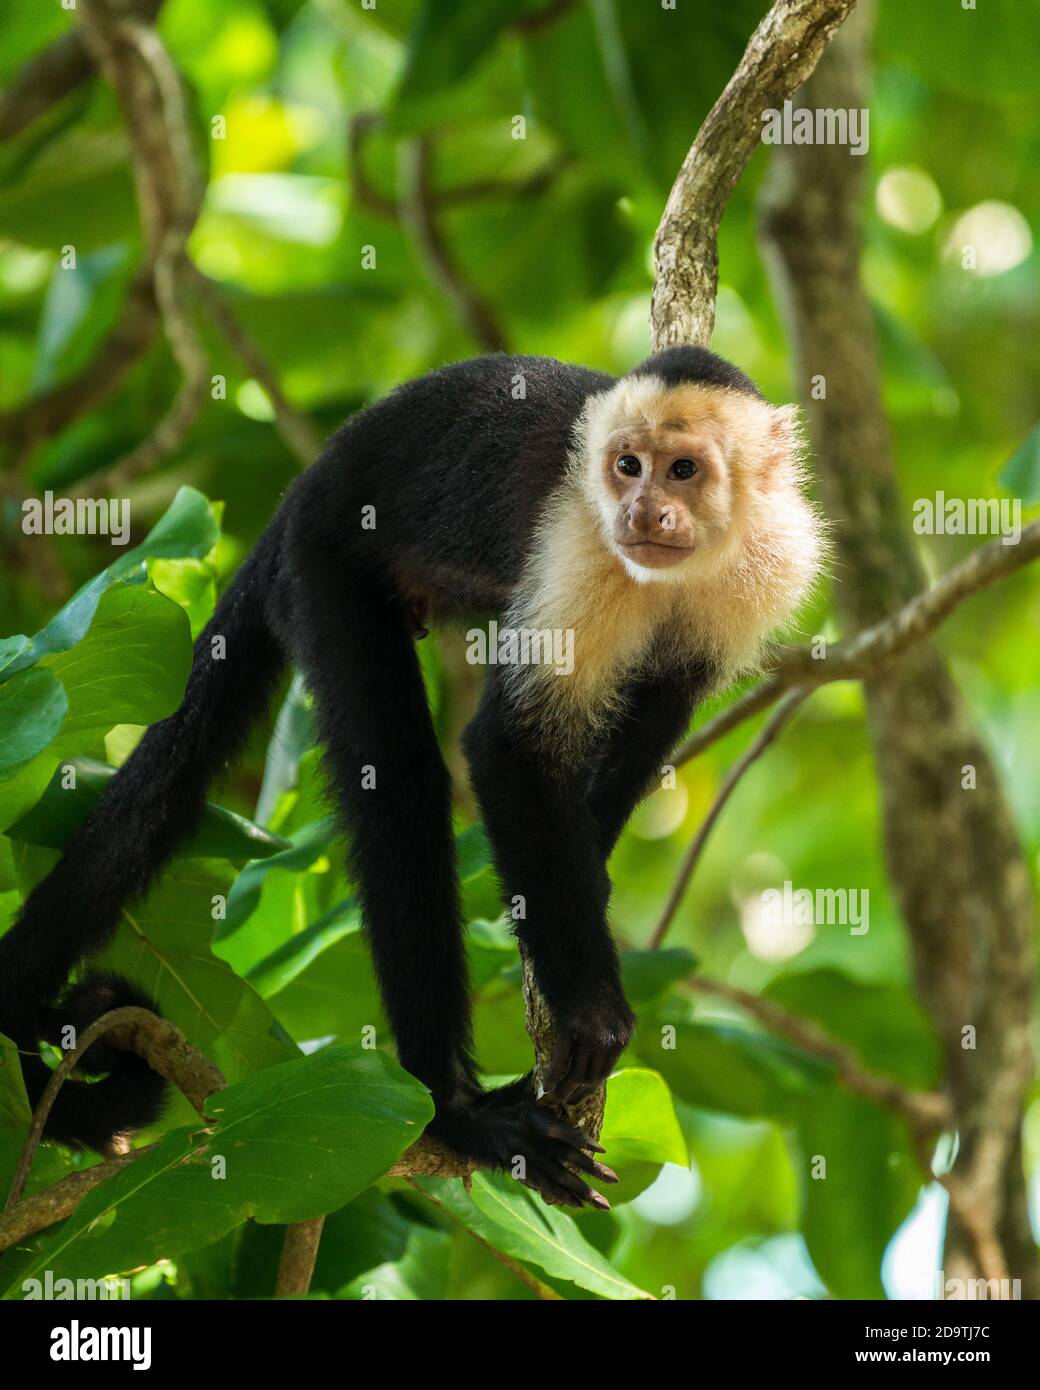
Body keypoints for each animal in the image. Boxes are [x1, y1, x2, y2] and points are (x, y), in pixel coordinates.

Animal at [0, 346, 823, 1209]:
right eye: (627, 466)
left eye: (683, 470)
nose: (640, 511)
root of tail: (313, 475)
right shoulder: (580, 549)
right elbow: (506, 748)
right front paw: (588, 1008)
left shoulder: (772, 568)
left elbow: (659, 713)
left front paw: (580, 875)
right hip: (326, 565)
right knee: (401, 785)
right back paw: (455, 1110)